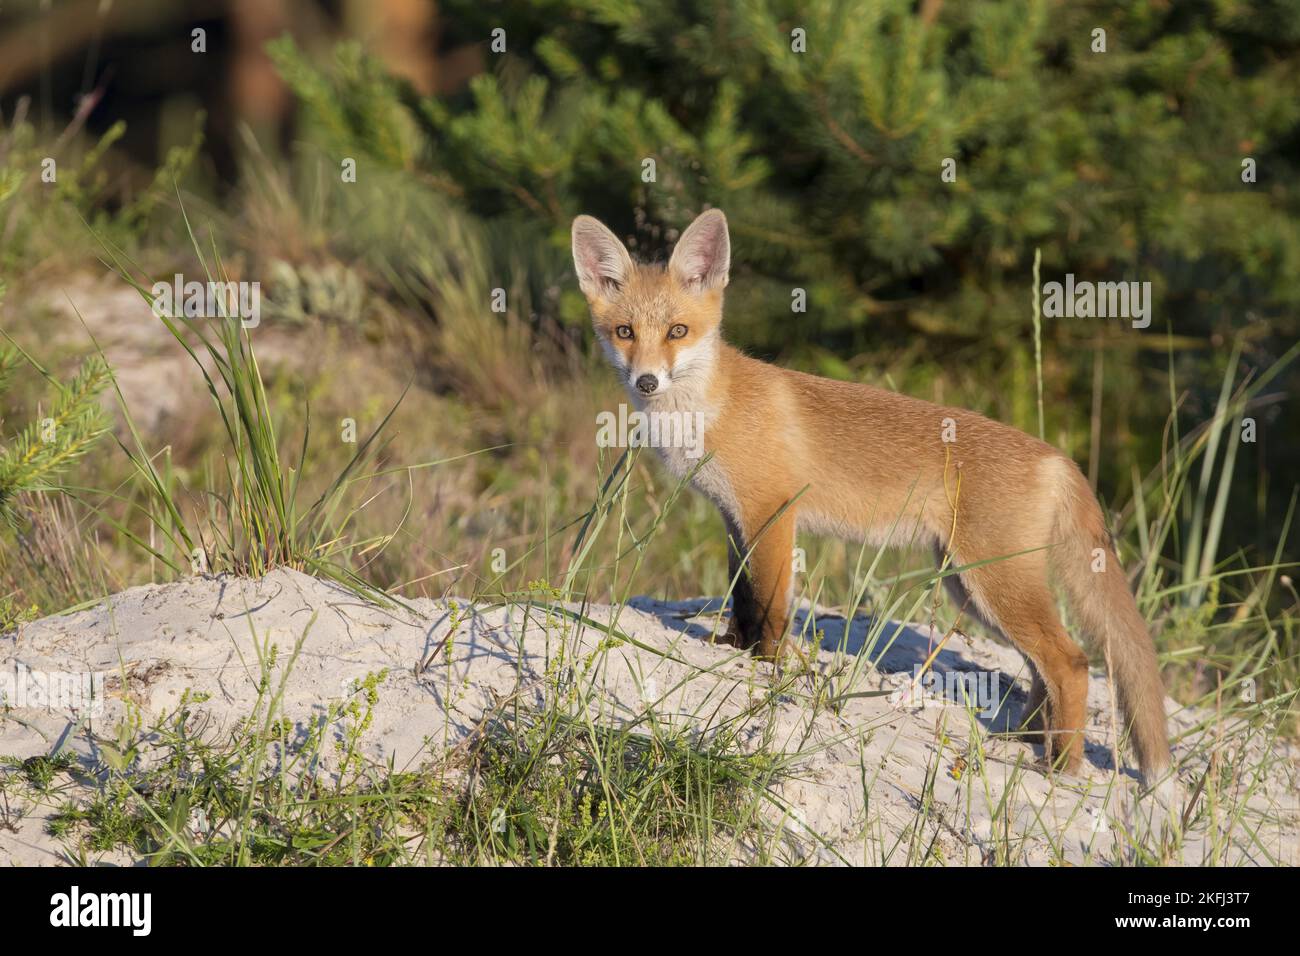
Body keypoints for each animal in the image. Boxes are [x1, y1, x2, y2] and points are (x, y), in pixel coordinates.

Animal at [571, 208, 1171, 783]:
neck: (703, 412)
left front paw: (765, 667)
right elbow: (742, 598)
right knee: (1041, 668)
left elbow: (770, 609)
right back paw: (1026, 740)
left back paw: (1062, 768)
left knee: (1071, 662)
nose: (647, 382)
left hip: (994, 583)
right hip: (971, 586)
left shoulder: (774, 512)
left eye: (677, 330)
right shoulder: (733, 517)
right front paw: (732, 649)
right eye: (625, 331)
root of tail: (1059, 457)